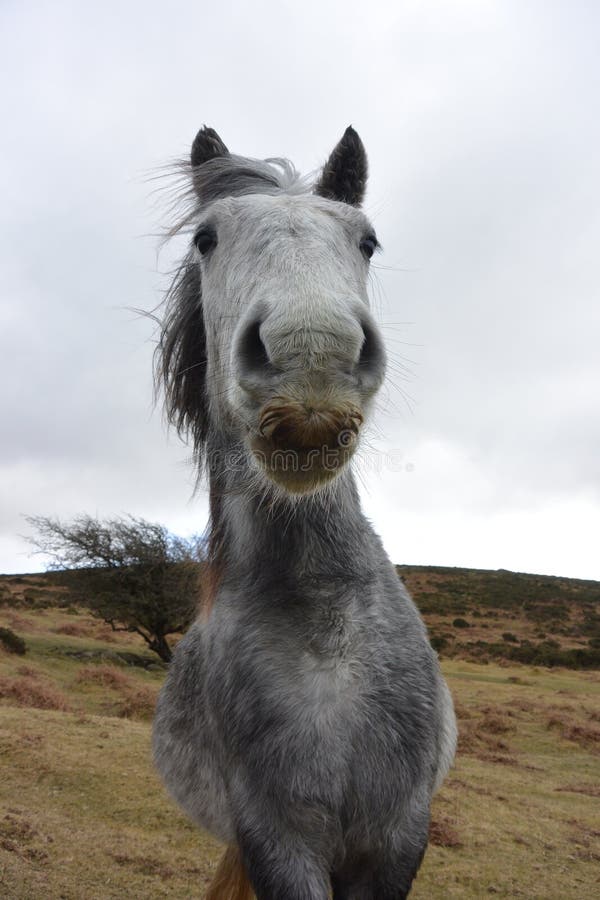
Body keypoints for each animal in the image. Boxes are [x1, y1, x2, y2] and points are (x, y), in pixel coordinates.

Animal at [152, 124, 457, 899]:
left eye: (366, 240)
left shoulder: (399, 835)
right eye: (206, 238)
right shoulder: (276, 840)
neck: (327, 632)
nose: (311, 352)